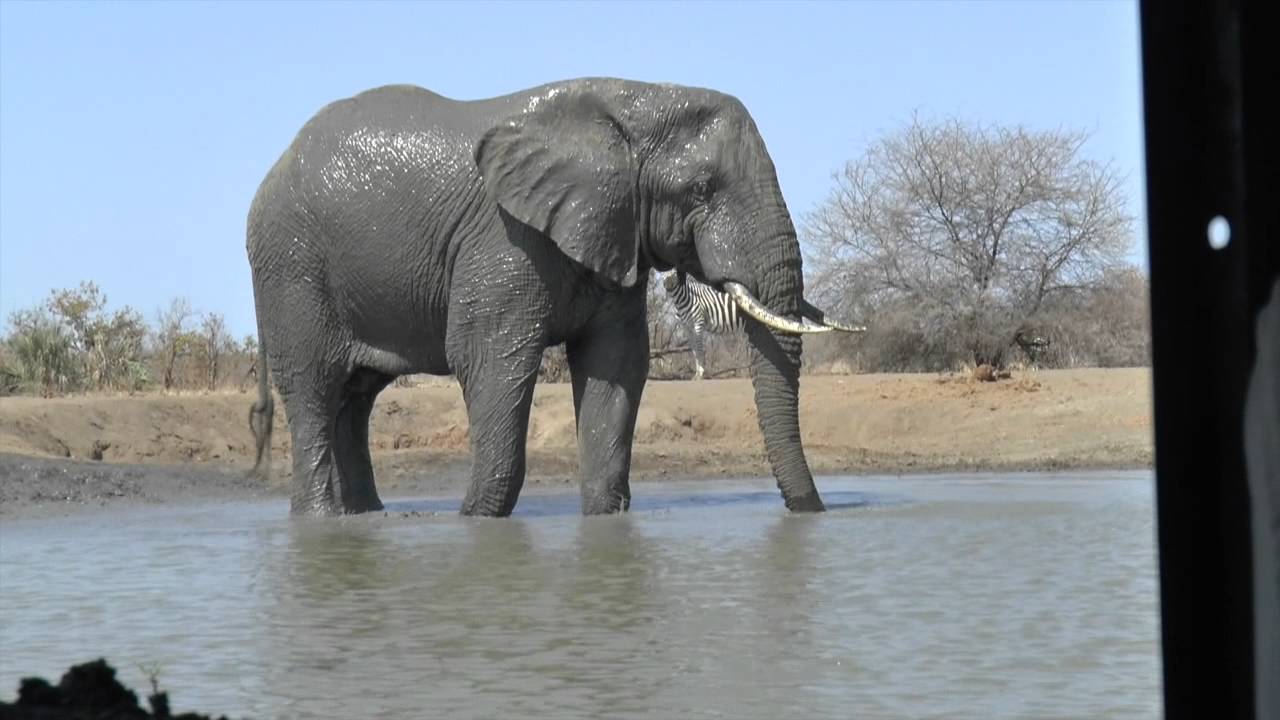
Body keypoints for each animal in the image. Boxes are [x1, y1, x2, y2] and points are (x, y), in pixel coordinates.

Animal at [245, 78, 859, 517]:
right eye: (702, 189)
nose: (813, 510)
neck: (627, 106)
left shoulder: (613, 232)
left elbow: (615, 367)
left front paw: (605, 520)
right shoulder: (504, 239)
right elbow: (491, 360)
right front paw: (475, 520)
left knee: (356, 398)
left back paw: (367, 517)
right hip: (291, 268)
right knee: (316, 390)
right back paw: (320, 519)